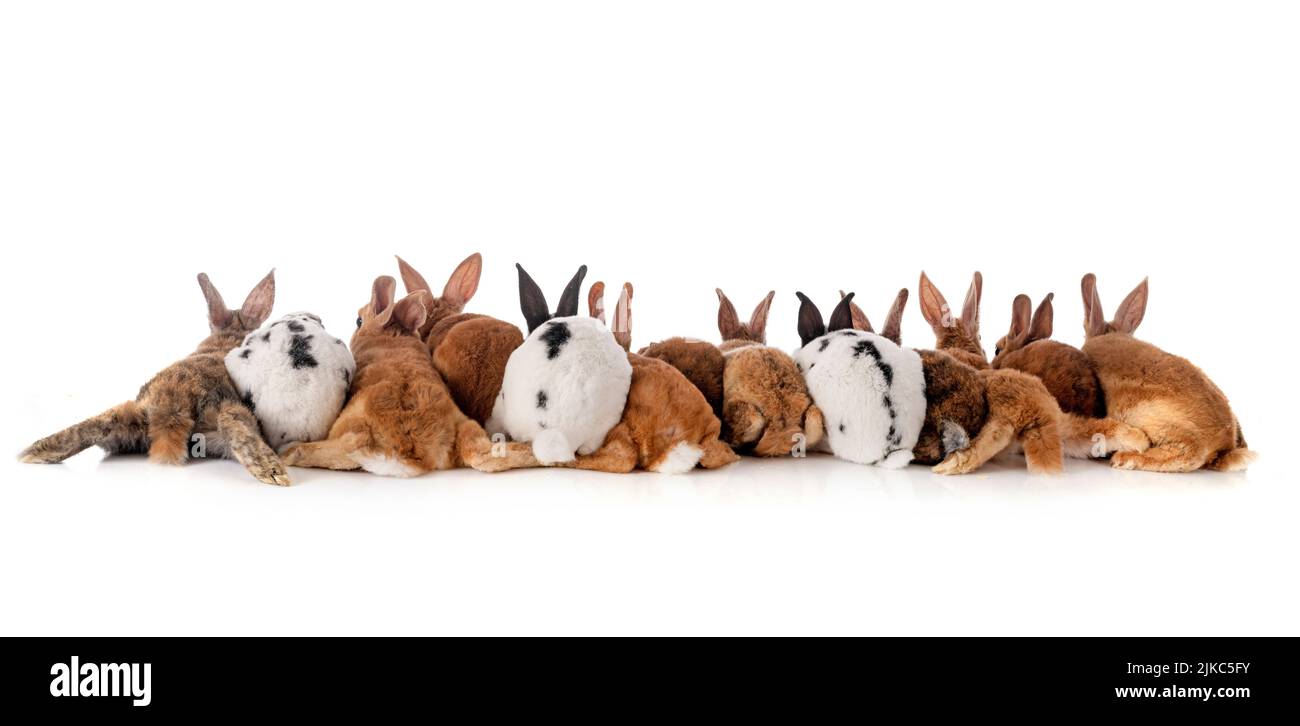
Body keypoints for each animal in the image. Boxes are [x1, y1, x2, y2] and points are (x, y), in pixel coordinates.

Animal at [21, 270, 290, 485]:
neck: (227, 338)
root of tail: (172, 405)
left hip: (127, 420)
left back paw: (29, 454)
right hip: (228, 412)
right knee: (233, 422)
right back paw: (274, 474)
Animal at [279, 276, 541, 476]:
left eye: (358, 320)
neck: (390, 338)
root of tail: (414, 453)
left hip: (350, 430)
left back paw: (290, 453)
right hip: (468, 427)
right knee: (485, 455)